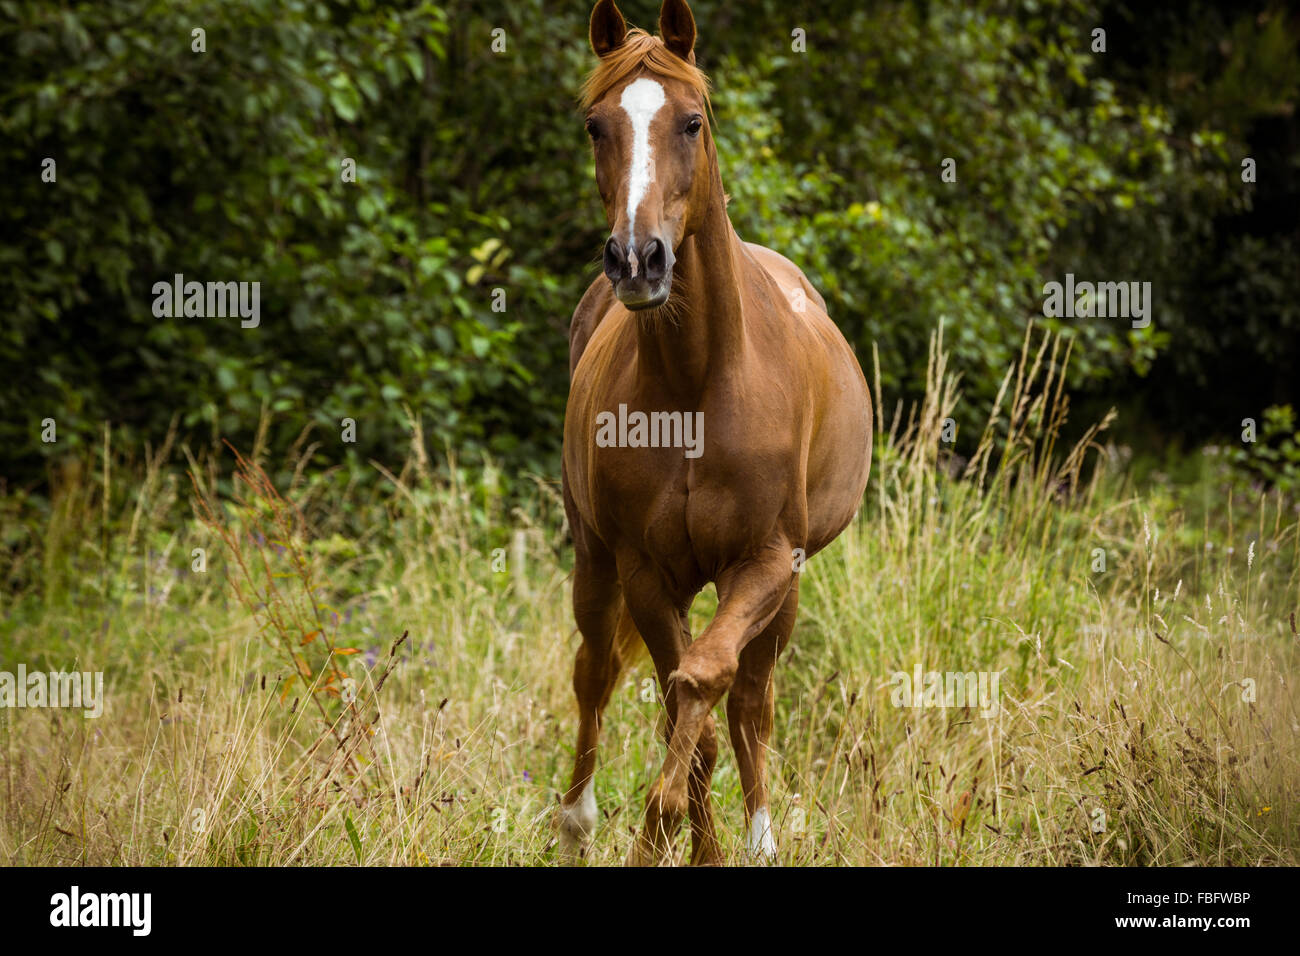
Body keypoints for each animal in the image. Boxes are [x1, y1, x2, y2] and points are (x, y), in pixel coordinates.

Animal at [558, 0, 872, 865]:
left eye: (692, 121)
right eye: (596, 126)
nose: (638, 260)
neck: (698, 388)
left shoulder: (764, 561)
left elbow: (707, 686)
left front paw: (677, 830)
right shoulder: (644, 570)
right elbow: (679, 704)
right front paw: (663, 832)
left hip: (783, 585)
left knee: (749, 701)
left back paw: (758, 837)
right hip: (595, 560)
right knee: (595, 672)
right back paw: (576, 822)